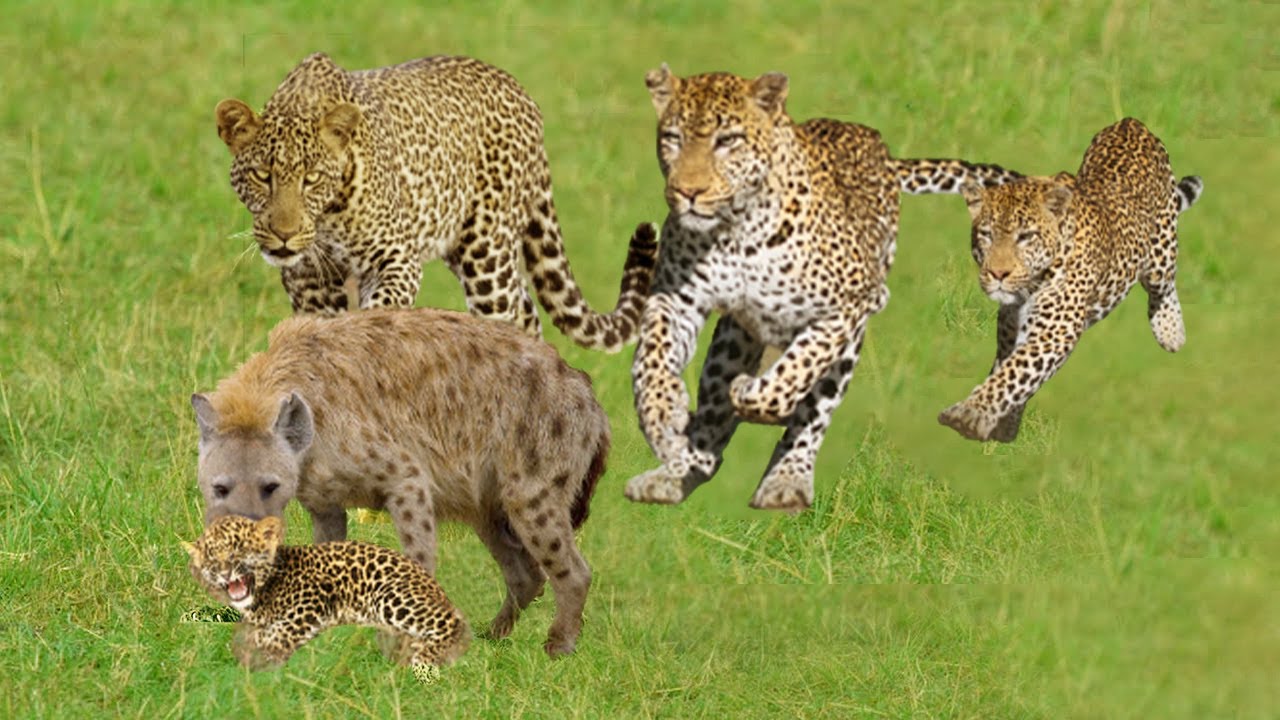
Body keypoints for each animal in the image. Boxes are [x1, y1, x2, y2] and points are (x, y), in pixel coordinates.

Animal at [184, 515, 469, 669]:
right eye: (211, 557)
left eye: (239, 549)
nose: (224, 571)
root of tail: (433, 583)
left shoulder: (314, 598)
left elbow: (280, 632)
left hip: (390, 596)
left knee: (452, 623)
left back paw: (422, 664)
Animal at [191, 308, 609, 656]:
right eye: (220, 488)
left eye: (271, 486)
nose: (242, 548)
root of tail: (585, 389)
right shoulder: (323, 501)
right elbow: (326, 556)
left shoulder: (406, 476)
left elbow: (417, 558)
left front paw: (399, 648)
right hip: (486, 505)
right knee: (524, 572)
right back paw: (492, 636)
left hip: (532, 487)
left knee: (571, 568)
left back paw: (558, 647)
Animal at [215, 52, 658, 353]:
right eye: (262, 176)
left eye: (312, 179)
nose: (284, 235)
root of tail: (523, 95)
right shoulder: (308, 282)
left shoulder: (395, 258)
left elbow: (379, 308)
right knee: (527, 308)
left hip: (487, 257)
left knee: (511, 313)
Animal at [624, 65, 1026, 512]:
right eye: (672, 138)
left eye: (727, 141)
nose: (688, 192)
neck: (735, 232)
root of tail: (879, 147)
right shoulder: (675, 298)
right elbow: (652, 355)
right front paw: (662, 415)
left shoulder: (847, 307)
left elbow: (794, 373)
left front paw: (756, 394)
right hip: (731, 342)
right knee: (712, 419)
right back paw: (676, 473)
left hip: (848, 340)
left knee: (812, 410)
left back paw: (786, 479)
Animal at [938, 117, 1204, 442]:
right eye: (986, 234)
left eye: (1026, 236)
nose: (998, 274)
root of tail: (1130, 122)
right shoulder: (1010, 329)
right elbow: (1009, 373)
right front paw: (1002, 423)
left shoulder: (1056, 329)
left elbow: (1013, 373)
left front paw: (969, 413)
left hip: (1161, 249)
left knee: (1163, 284)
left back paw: (1171, 333)